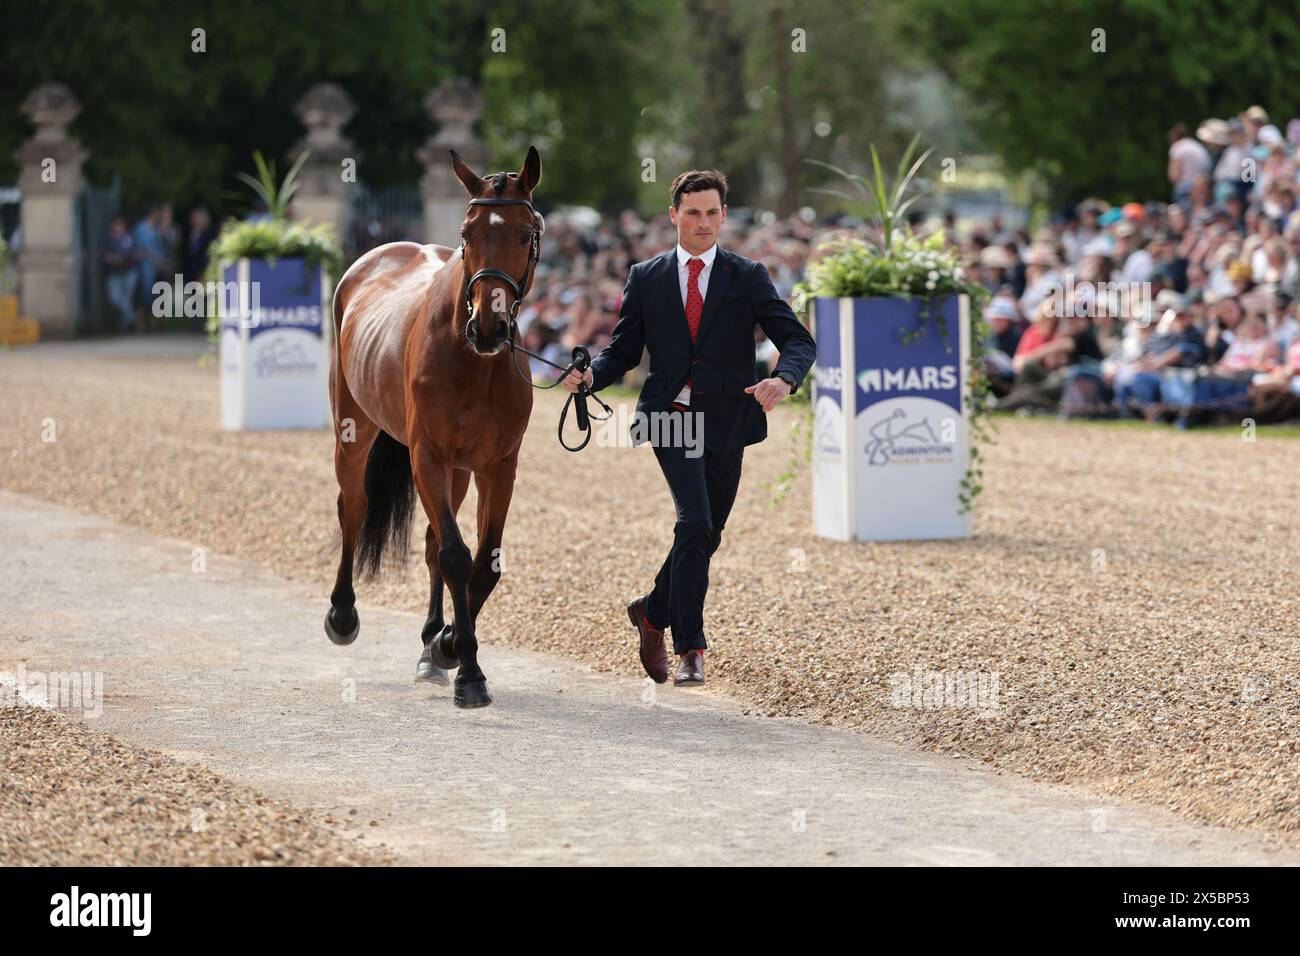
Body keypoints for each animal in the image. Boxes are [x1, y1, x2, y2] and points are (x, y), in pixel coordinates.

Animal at [323, 146, 542, 708]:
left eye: (525, 233)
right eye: (468, 233)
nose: (488, 327)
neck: (473, 363)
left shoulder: (498, 466)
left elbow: (483, 563)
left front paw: (446, 646)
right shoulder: (428, 455)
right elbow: (456, 557)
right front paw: (467, 670)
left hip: (459, 470)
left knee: (427, 542)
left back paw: (430, 645)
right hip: (354, 431)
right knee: (353, 508)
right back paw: (343, 614)